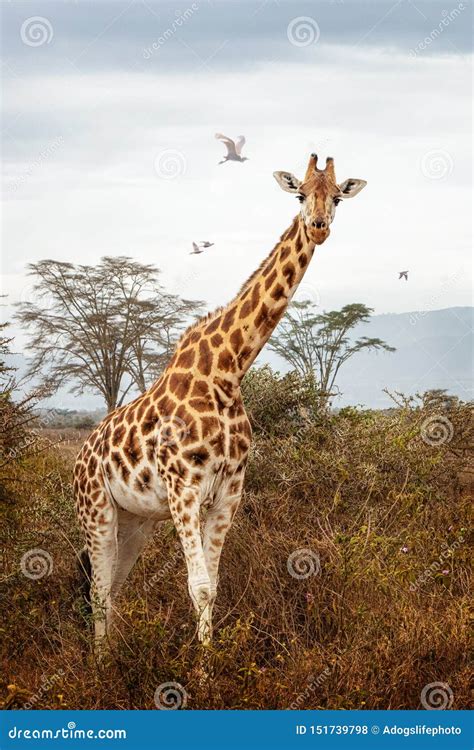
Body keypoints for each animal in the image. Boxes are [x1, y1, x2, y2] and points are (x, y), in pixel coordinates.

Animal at [73, 153, 366, 649]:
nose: (319, 226)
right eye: (300, 194)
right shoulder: (184, 488)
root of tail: (78, 456)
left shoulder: (230, 489)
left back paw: (111, 657)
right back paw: (98, 663)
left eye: (338, 197)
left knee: (113, 586)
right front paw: (203, 666)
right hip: (96, 509)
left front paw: (210, 659)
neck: (228, 372)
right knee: (97, 587)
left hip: (135, 519)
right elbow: (199, 587)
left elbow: (214, 584)